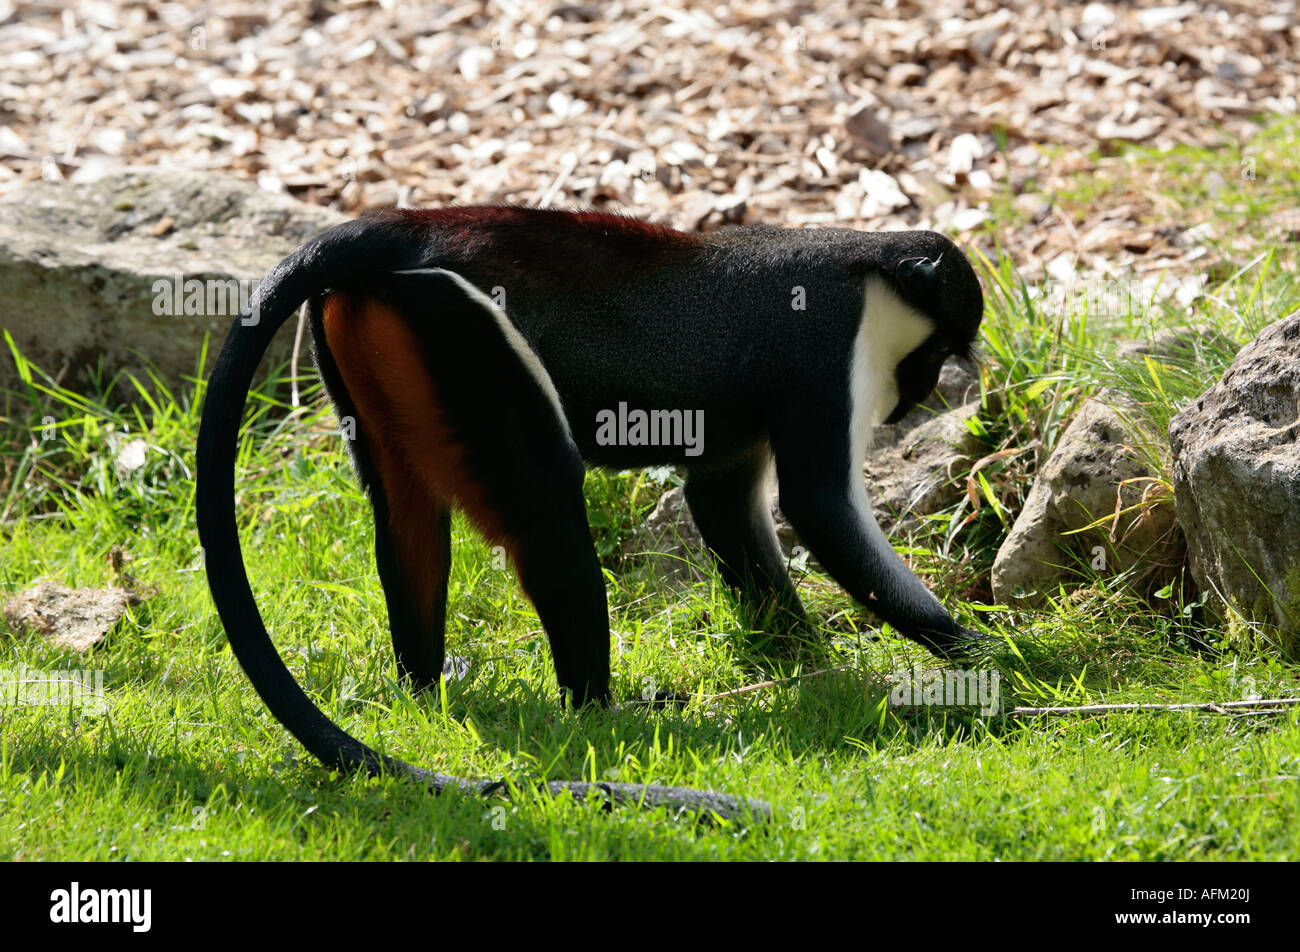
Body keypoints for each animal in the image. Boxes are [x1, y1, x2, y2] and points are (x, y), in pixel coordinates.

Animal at [195, 206, 986, 821]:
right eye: (938, 347)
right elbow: (818, 505)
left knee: (406, 512)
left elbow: (722, 500)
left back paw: (424, 683)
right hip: (459, 329)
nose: (914, 396)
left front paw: (808, 665)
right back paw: (596, 708)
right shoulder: (827, 350)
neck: (866, 268)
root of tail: (400, 228)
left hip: (387, 343)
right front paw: (987, 658)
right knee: (545, 498)